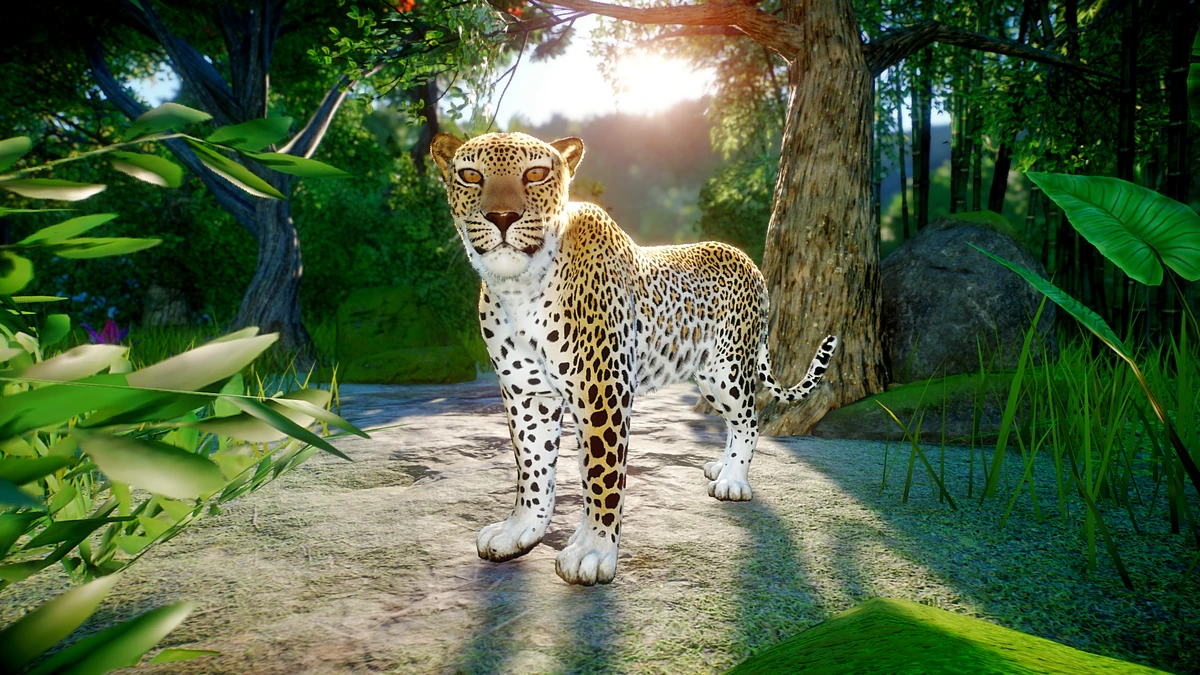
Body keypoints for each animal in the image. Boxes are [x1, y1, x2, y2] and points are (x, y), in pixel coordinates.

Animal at [430, 131, 837, 586]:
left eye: (535, 173)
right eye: (470, 175)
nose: (503, 217)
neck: (519, 289)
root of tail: (749, 261)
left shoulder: (601, 389)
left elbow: (601, 475)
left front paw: (592, 552)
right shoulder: (526, 394)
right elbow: (532, 467)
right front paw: (520, 530)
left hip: (727, 370)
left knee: (749, 421)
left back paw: (733, 481)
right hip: (707, 379)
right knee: (736, 423)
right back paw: (721, 467)